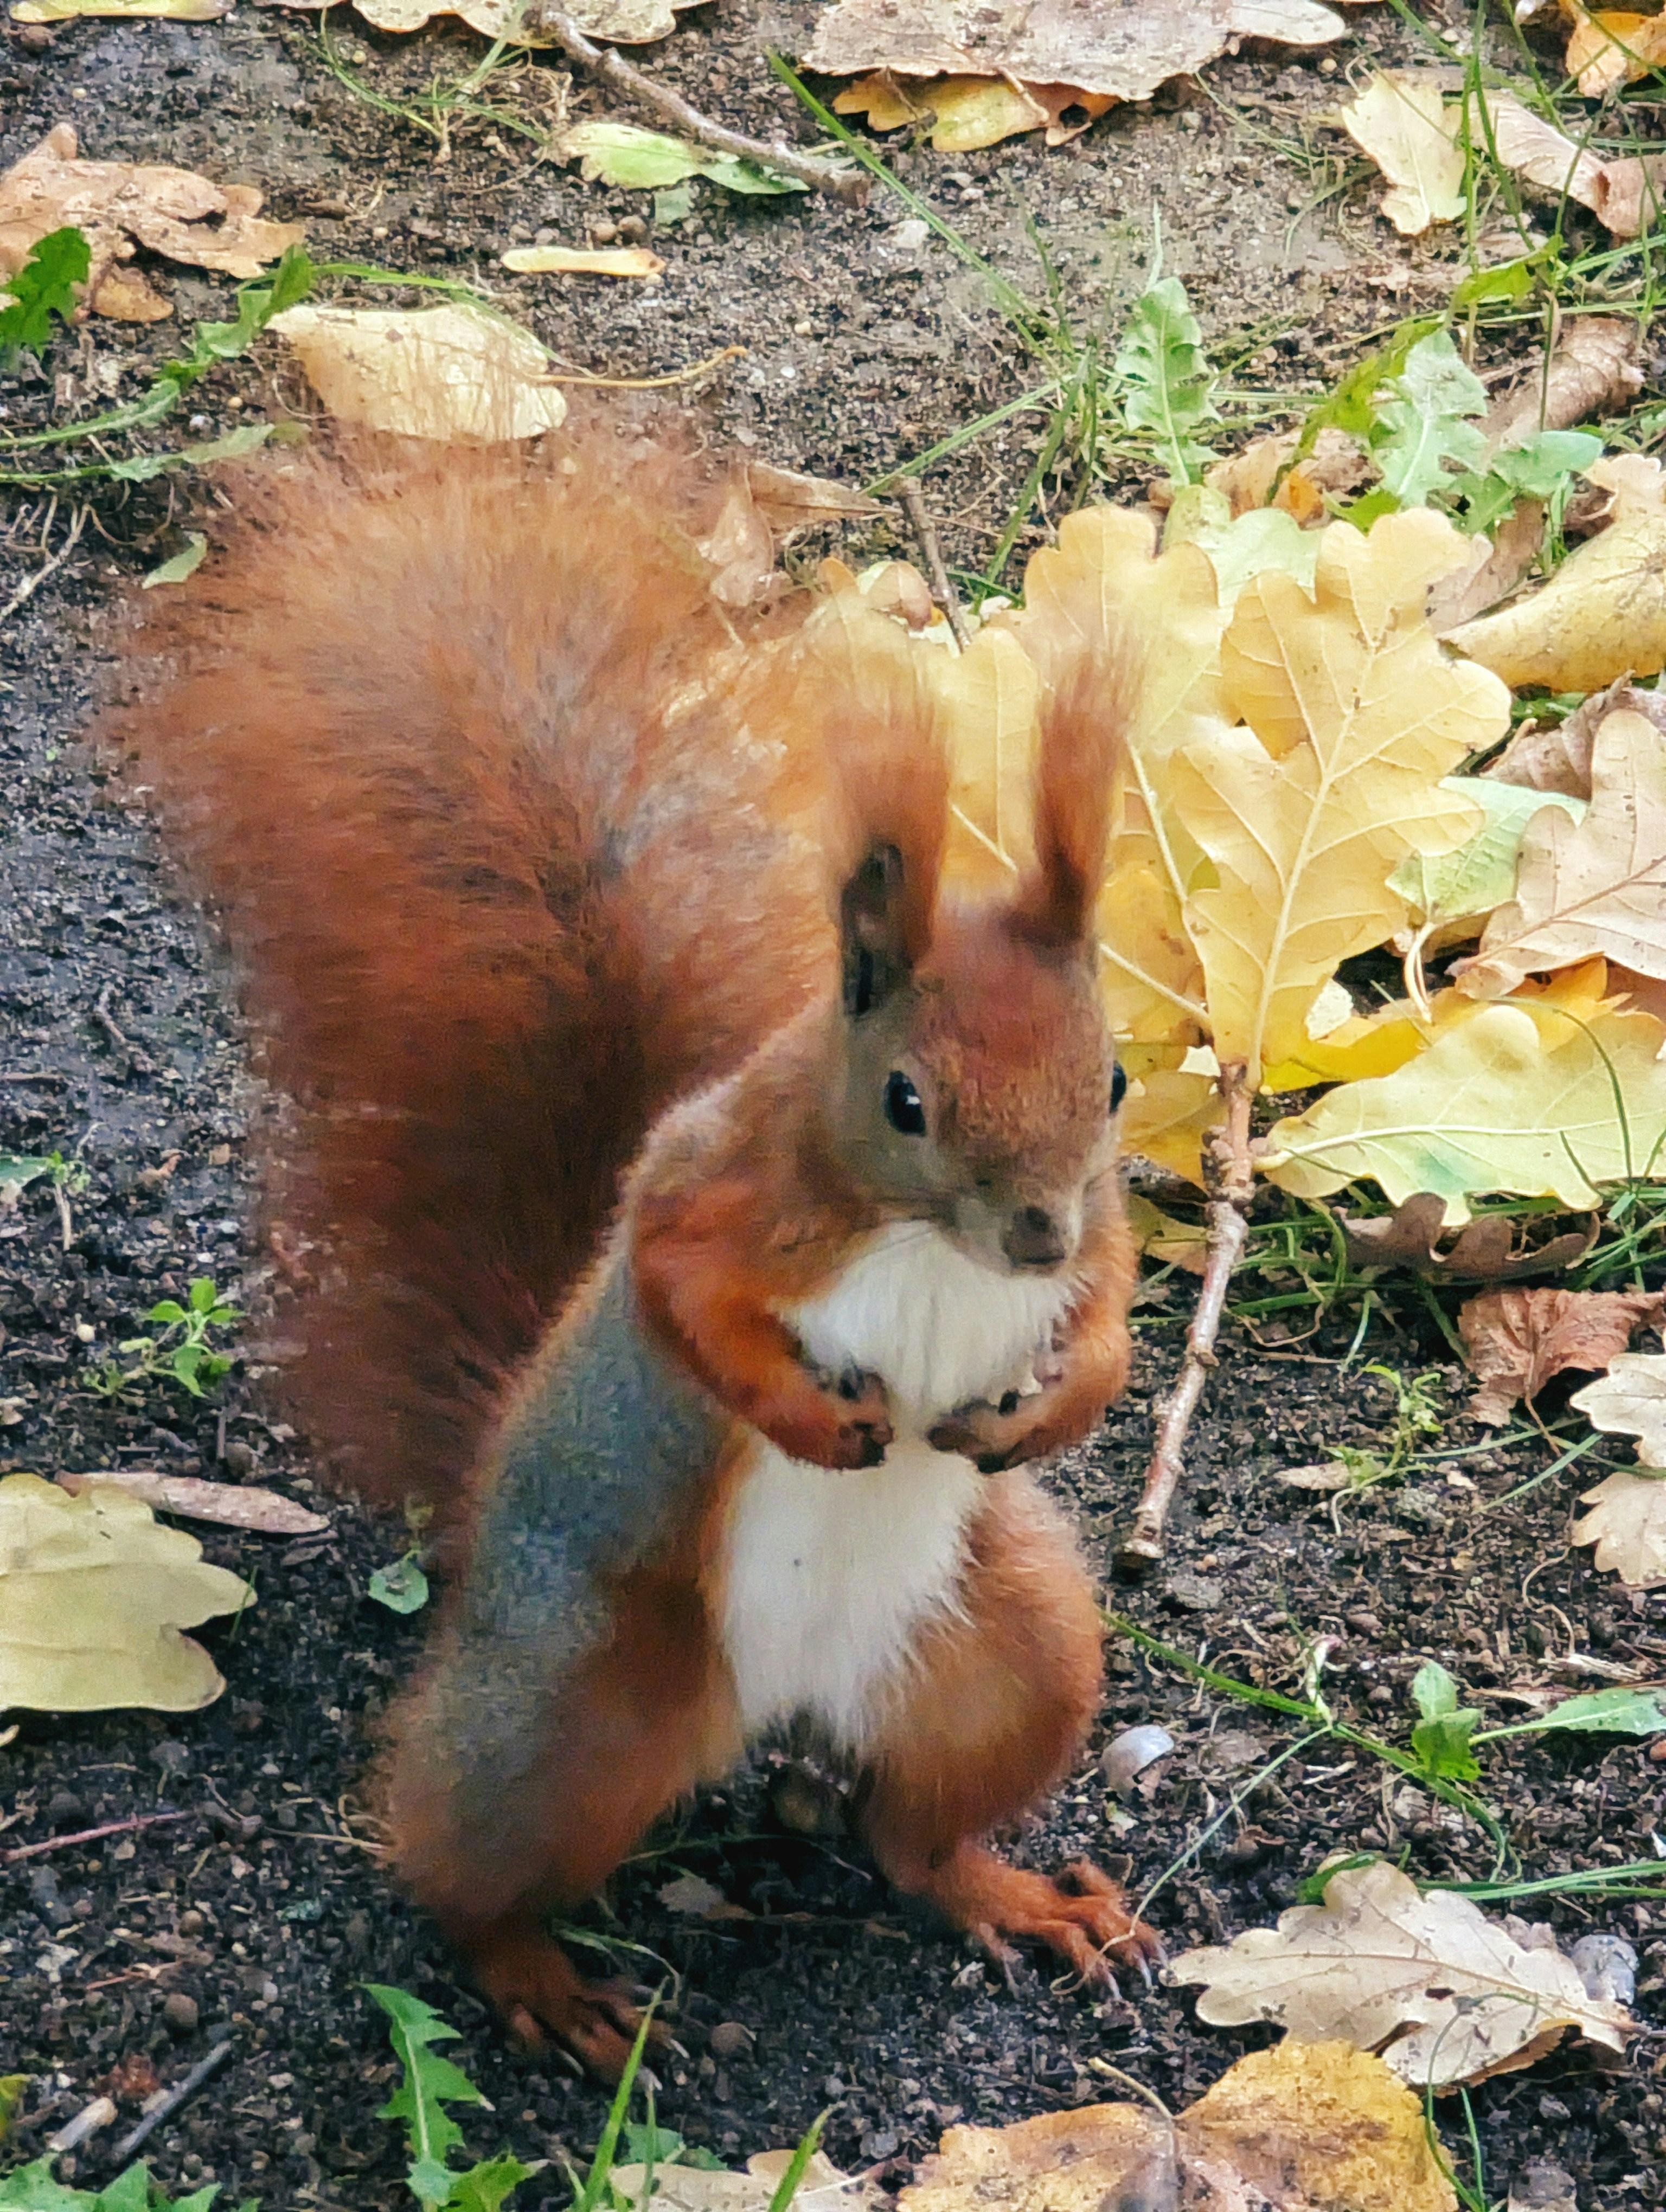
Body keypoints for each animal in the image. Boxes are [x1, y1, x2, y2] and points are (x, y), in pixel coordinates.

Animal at [110, 420, 1157, 2078]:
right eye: (907, 1099)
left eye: (1113, 1078)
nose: (1034, 1226)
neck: (930, 1239)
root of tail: (782, 1702)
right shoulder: (716, 1188)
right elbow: (674, 1292)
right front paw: (811, 1417)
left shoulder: (1096, 1222)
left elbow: (1112, 1301)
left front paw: (1065, 1393)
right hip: (571, 1711)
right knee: (458, 1861)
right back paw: (540, 1978)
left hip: (1011, 1651)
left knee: (912, 1838)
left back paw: (1014, 1893)